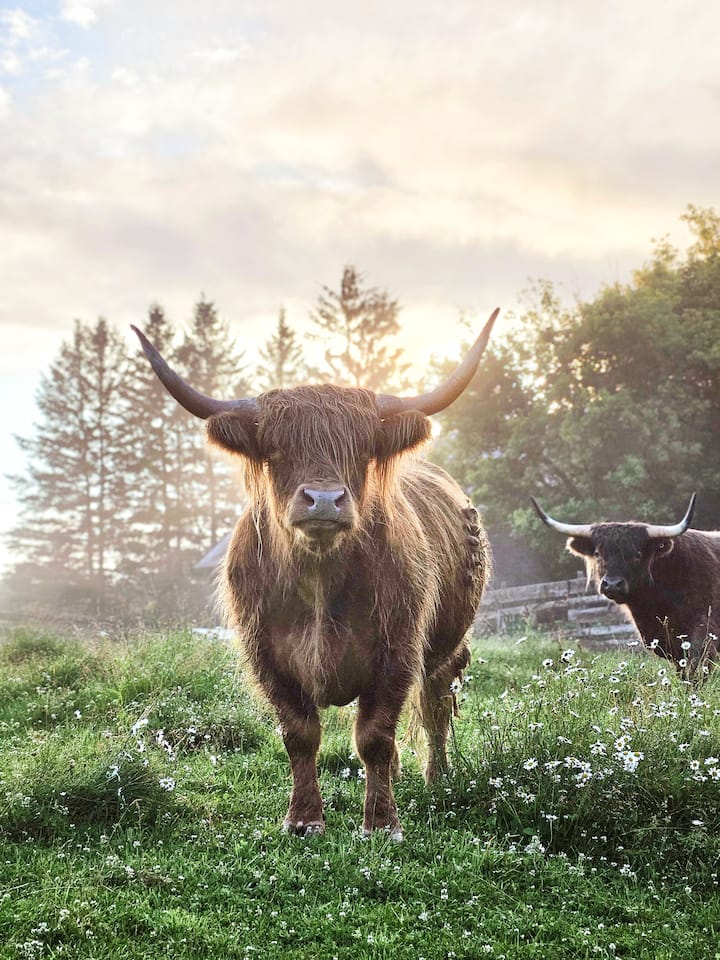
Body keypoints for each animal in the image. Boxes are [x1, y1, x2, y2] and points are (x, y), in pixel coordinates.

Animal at [131, 311, 498, 839]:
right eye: (277, 449)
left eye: (362, 448)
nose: (324, 500)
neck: (320, 583)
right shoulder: (268, 656)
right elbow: (300, 735)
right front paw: (304, 820)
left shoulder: (397, 651)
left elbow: (375, 736)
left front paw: (381, 823)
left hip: (447, 646)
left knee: (434, 707)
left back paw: (438, 778)